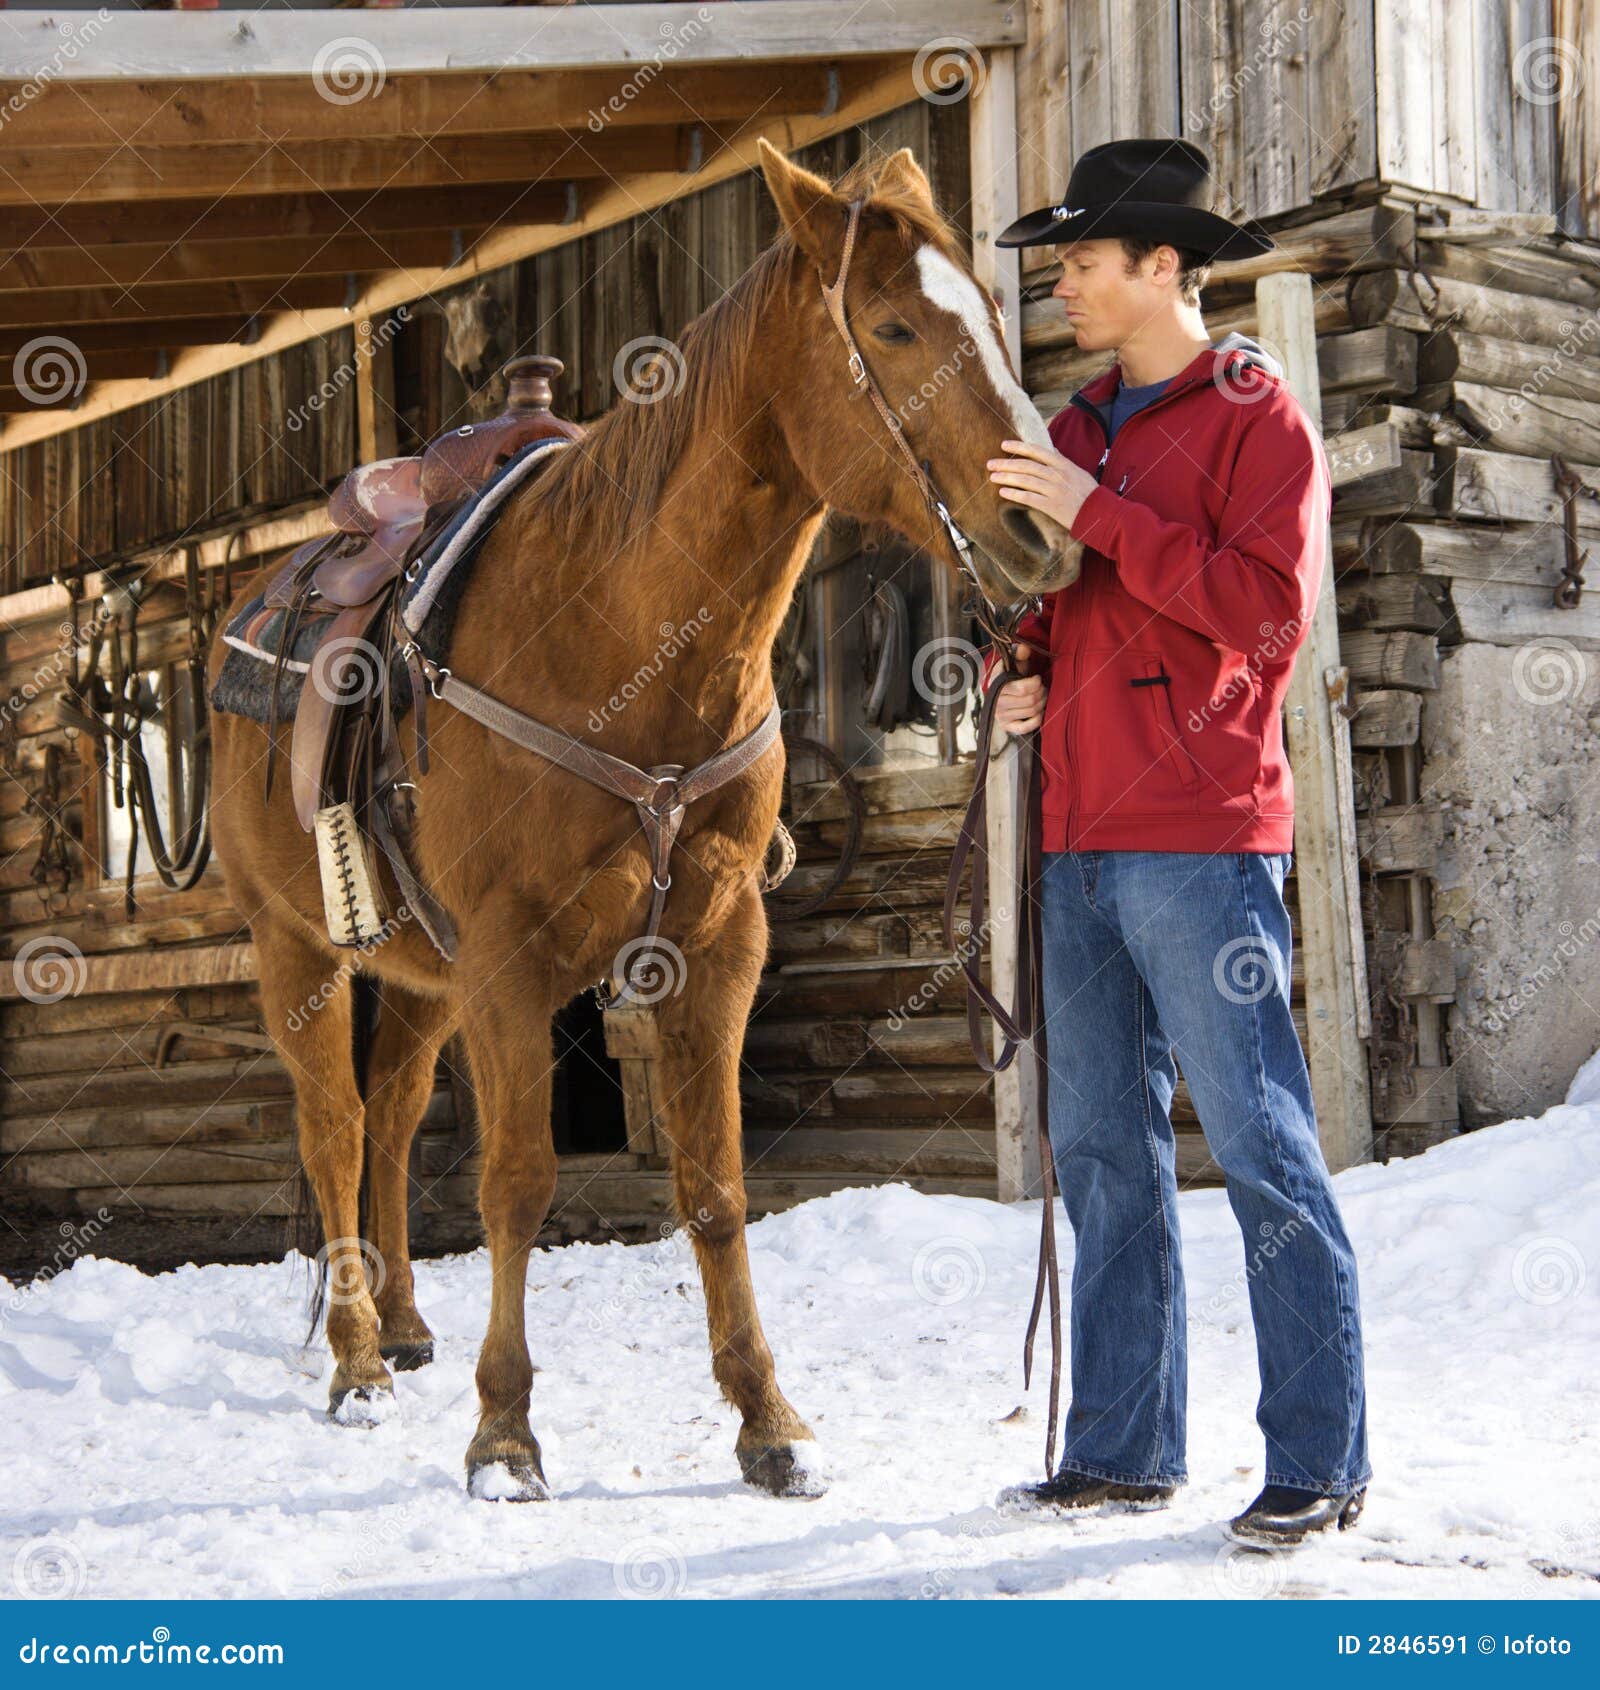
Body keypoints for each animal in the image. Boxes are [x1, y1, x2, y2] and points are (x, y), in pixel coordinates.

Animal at [207, 138, 1082, 1502]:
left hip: (421, 967)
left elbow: (714, 1187)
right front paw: (504, 1436)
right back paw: (354, 1361)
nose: (1040, 528)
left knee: (392, 1114)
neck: (620, 634)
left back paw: (401, 1325)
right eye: (891, 326)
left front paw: (769, 1422)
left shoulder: (715, 944)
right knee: (337, 1127)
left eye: (991, 317)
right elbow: (516, 1182)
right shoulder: (510, 959)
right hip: (297, 946)